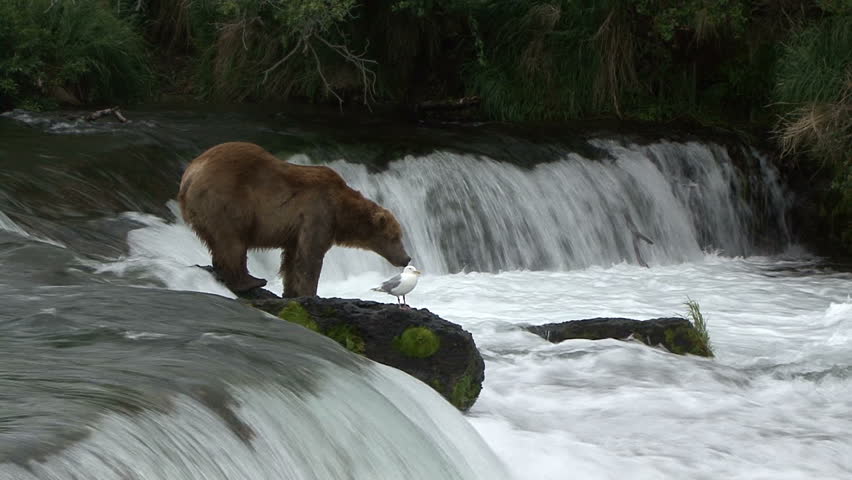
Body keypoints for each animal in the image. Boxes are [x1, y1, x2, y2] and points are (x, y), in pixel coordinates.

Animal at [178, 141, 411, 297]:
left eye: (400, 236)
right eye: (394, 237)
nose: (407, 258)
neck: (342, 212)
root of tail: (189, 174)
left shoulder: (295, 228)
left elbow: (291, 258)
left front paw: (290, 291)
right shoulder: (318, 213)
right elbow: (310, 256)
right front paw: (310, 292)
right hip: (227, 201)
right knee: (232, 242)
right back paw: (252, 281)